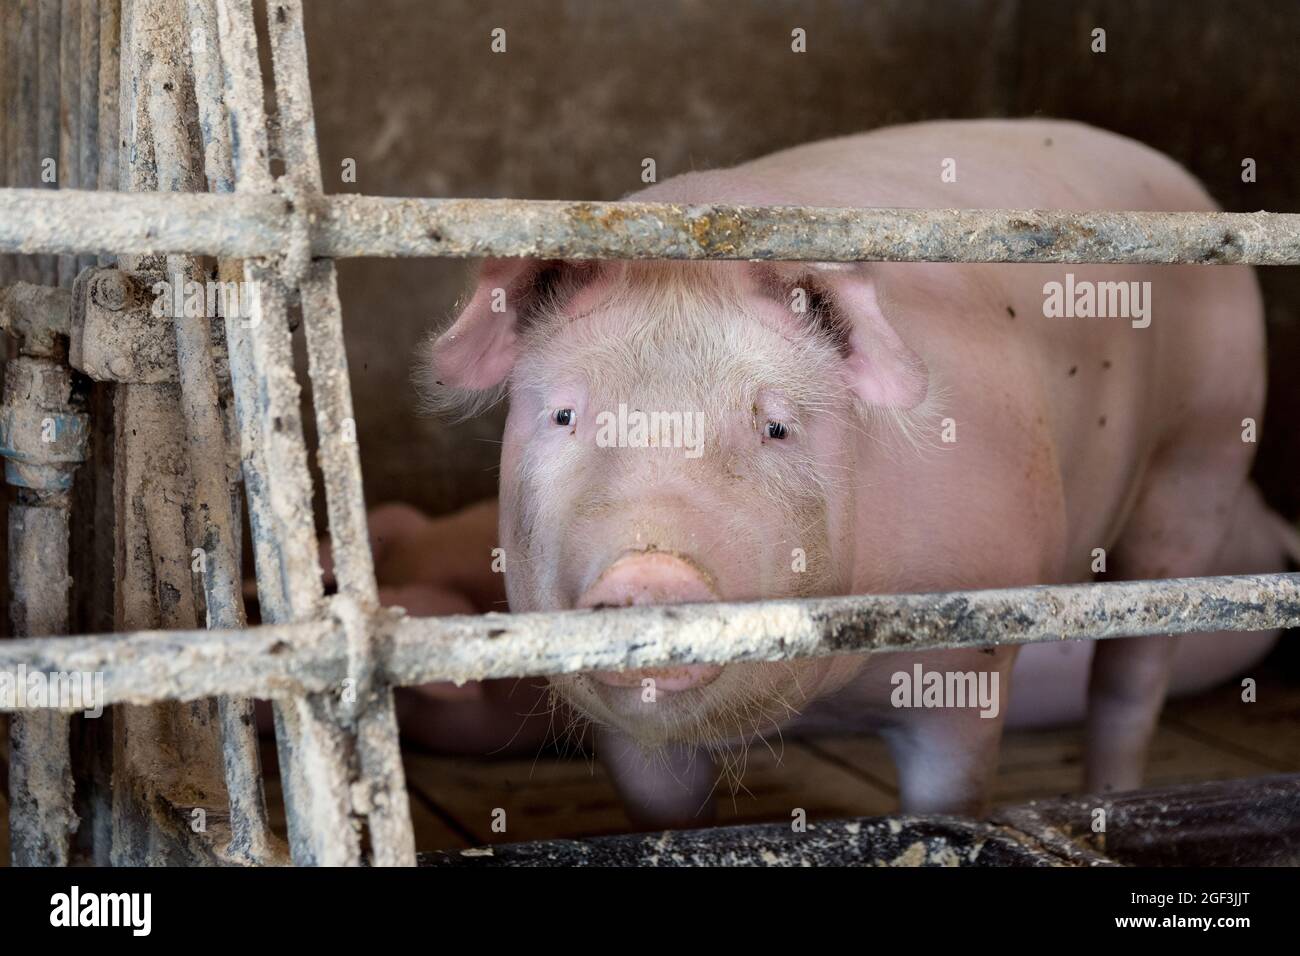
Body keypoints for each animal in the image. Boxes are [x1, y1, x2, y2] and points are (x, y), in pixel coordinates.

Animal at [403, 119, 1296, 827]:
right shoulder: (625, 733)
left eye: (776, 425)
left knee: (1133, 674)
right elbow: (666, 814)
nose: (649, 573)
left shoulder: (970, 651)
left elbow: (950, 797)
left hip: (1201, 456)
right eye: (562, 415)